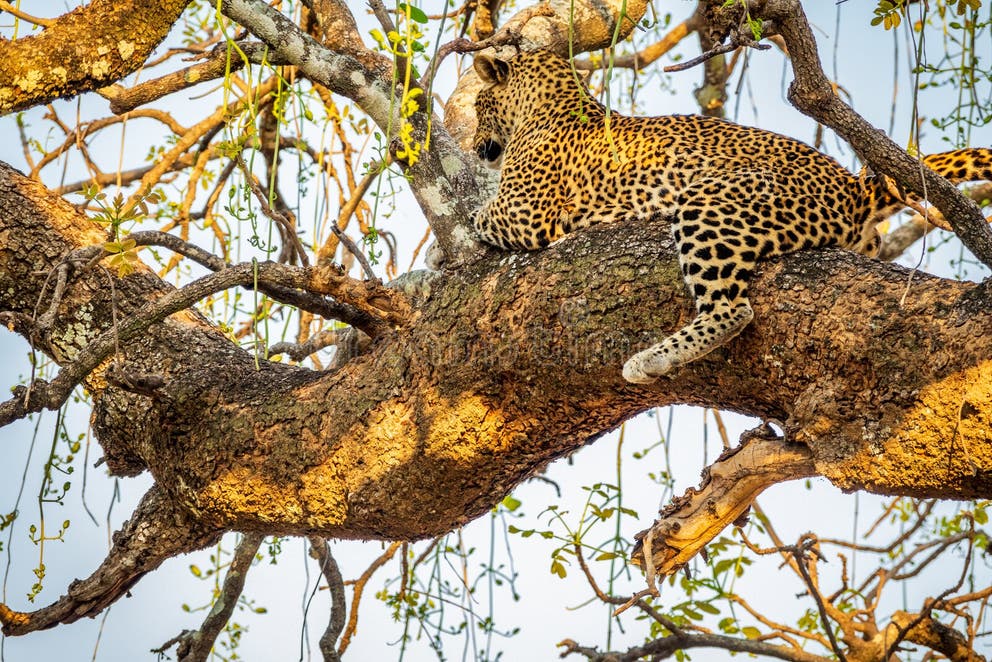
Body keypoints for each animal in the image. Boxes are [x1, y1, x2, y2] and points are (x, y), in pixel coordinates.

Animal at [470, 49, 992, 384]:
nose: (475, 147)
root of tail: (852, 184)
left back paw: (650, 361)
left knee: (731, 309)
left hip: (711, 204)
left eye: (477, 106)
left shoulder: (523, 212)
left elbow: (477, 217)